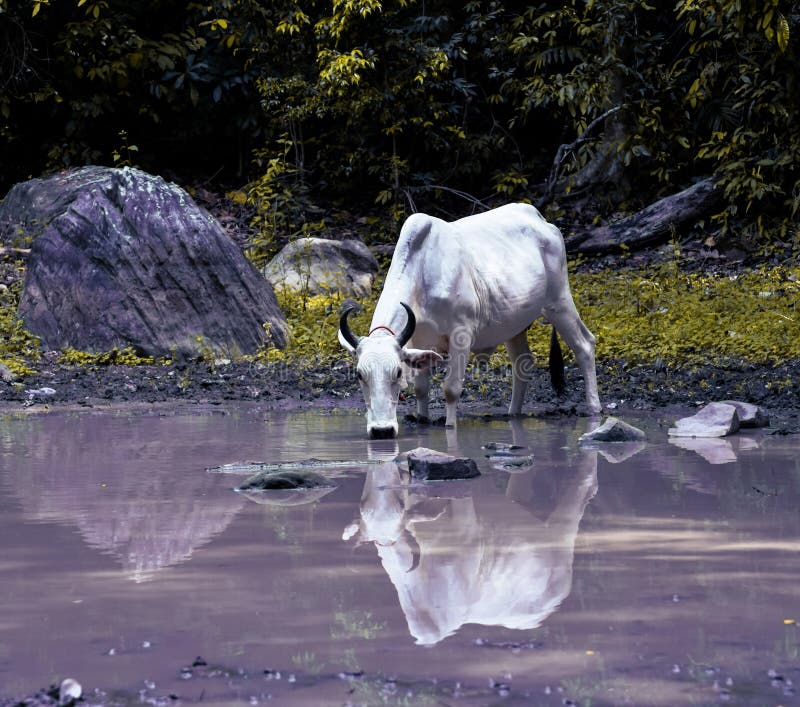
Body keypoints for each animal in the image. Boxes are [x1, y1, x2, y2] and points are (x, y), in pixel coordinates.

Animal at [338, 203, 601, 439]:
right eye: (360, 375)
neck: (421, 278)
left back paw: (594, 408)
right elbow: (422, 389)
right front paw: (422, 420)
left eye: (397, 372)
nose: (381, 431)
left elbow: (451, 389)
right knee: (523, 363)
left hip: (559, 302)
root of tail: (543, 221)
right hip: (515, 326)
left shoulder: (461, 336)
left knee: (584, 345)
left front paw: (449, 428)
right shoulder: (420, 342)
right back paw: (513, 414)